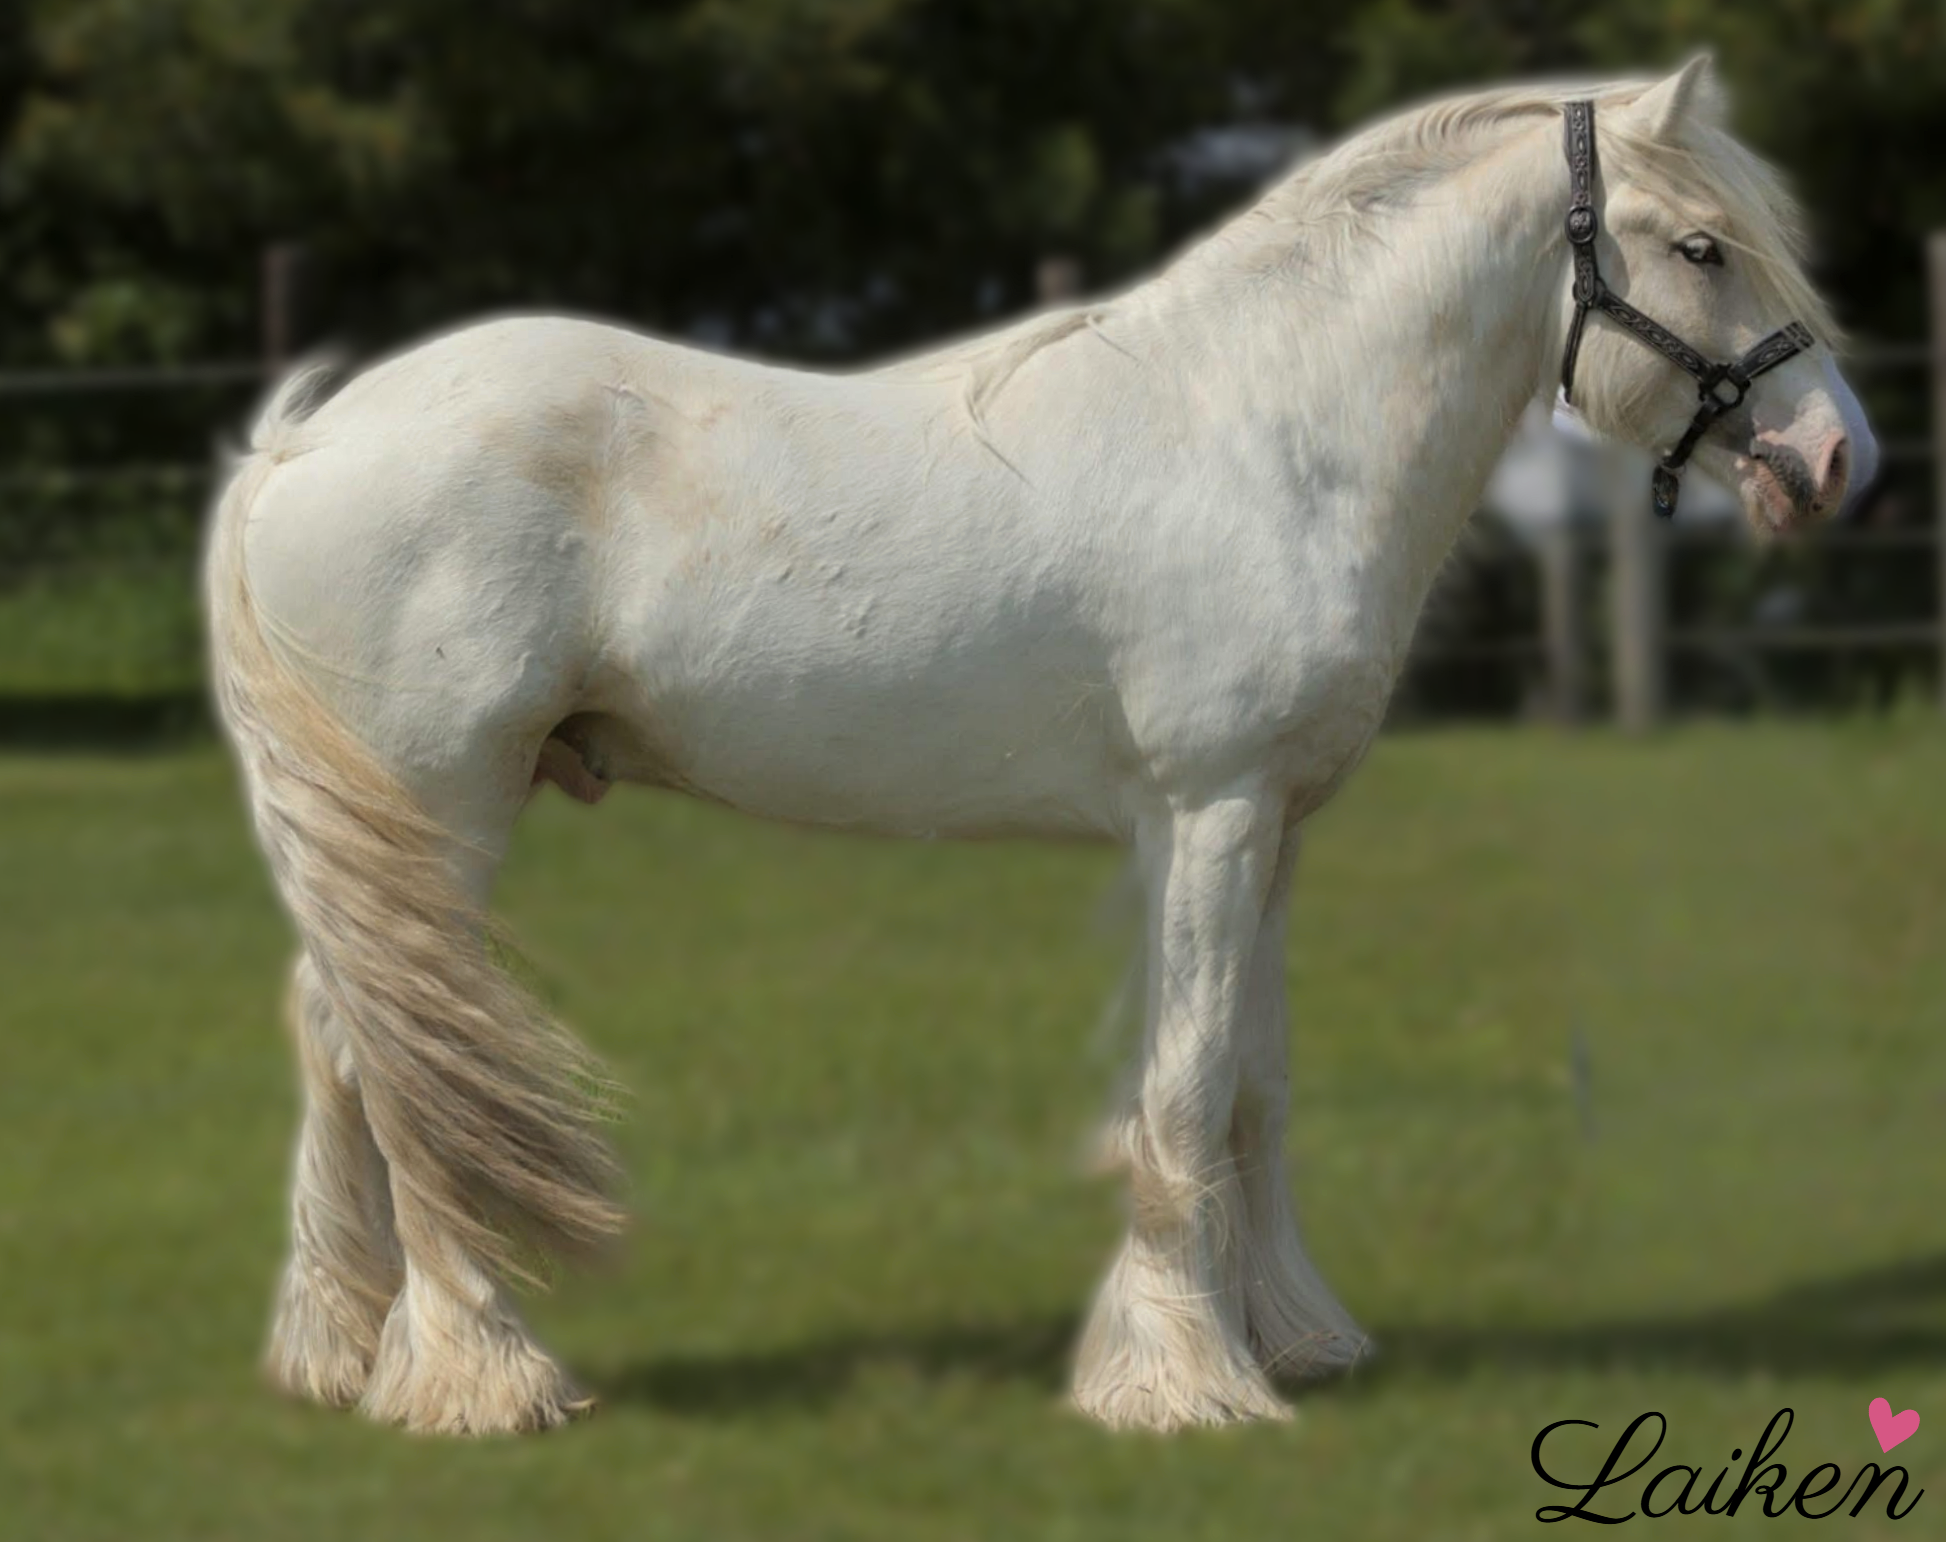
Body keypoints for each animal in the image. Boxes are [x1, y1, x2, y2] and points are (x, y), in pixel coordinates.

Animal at [206, 58, 1871, 1435]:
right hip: (443, 808)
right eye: (1702, 246)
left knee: (339, 1033)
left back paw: (342, 1356)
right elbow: (1183, 1086)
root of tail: (301, 442)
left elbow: (1255, 1083)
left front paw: (1297, 1340)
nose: (1835, 461)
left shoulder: (1271, 830)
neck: (1266, 431)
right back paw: (487, 1380)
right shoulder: (1208, 814)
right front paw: (1185, 1385)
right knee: (405, 1054)